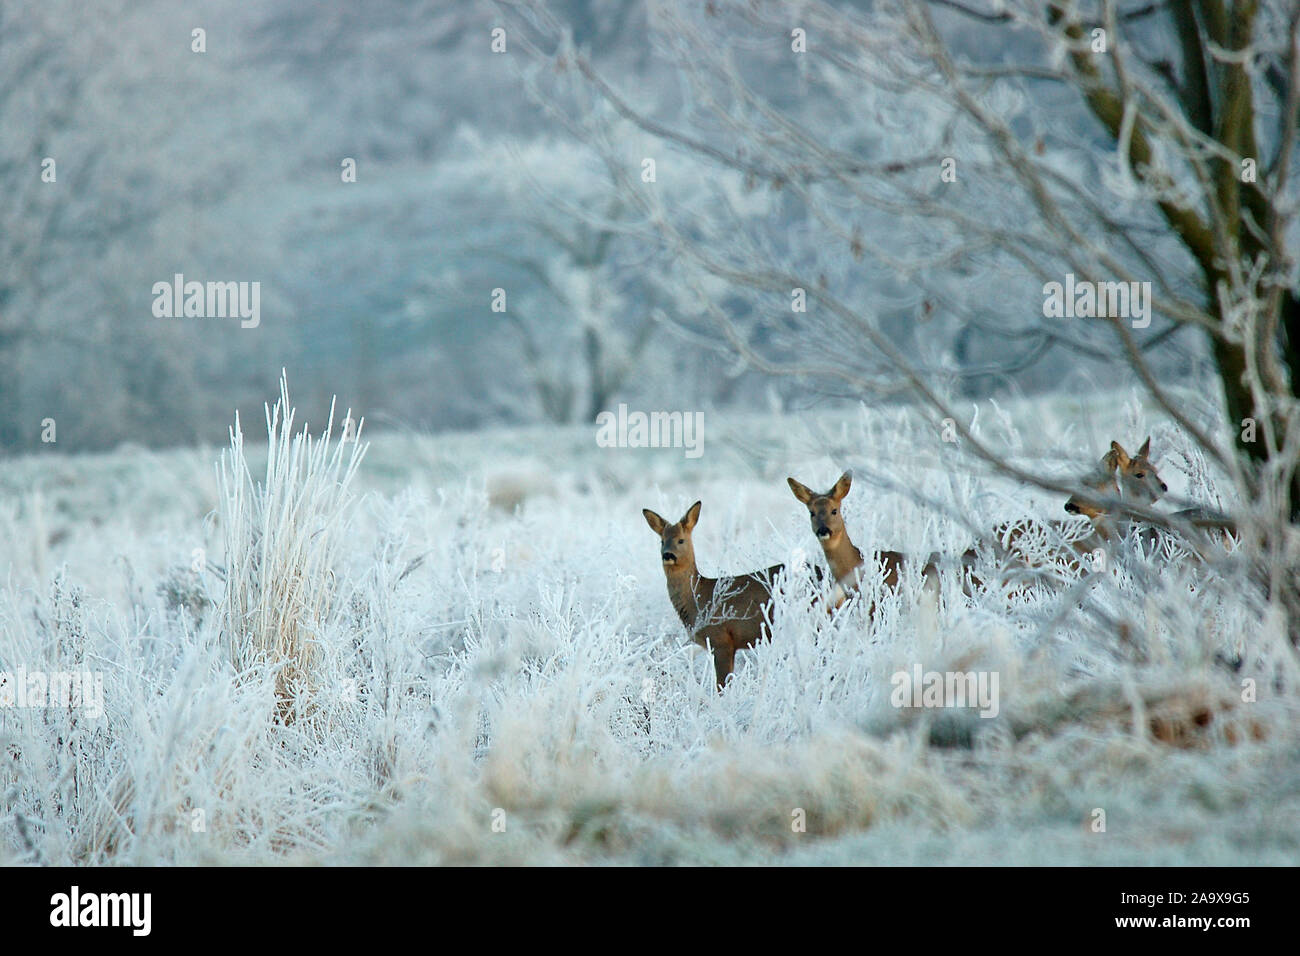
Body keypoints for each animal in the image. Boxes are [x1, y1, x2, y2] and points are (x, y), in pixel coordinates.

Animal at [642, 500, 787, 690]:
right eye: (662, 541)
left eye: (681, 540)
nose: (667, 555)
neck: (698, 597)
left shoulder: (721, 640)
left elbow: (722, 686)